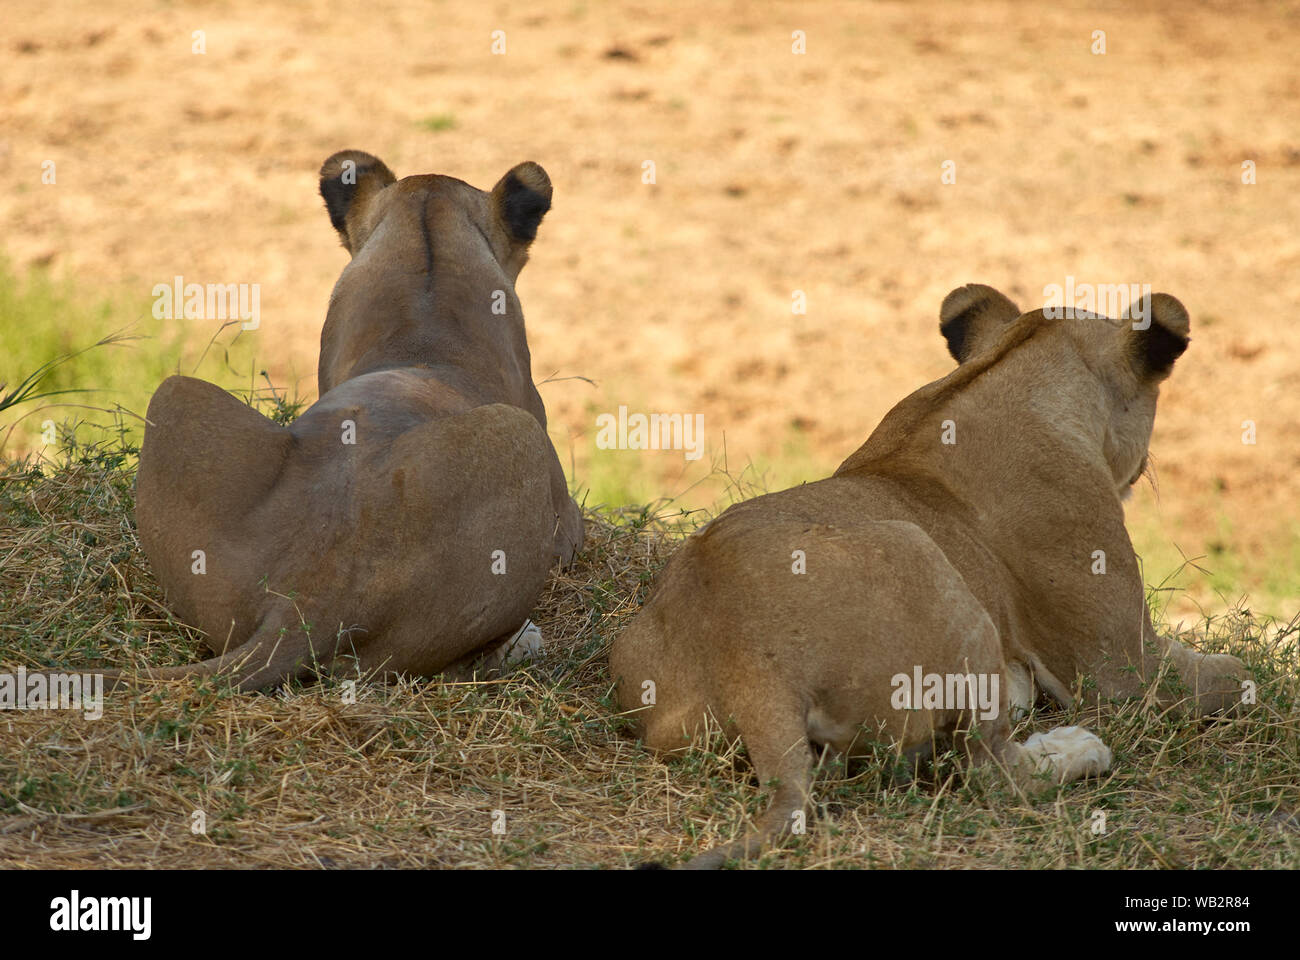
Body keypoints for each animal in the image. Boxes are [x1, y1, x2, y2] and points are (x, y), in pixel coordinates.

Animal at [609, 284, 1247, 869]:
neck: (1017, 364)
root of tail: (747, 662)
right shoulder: (1125, 669)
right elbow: (1236, 679)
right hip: (925, 556)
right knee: (993, 771)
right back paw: (1078, 749)